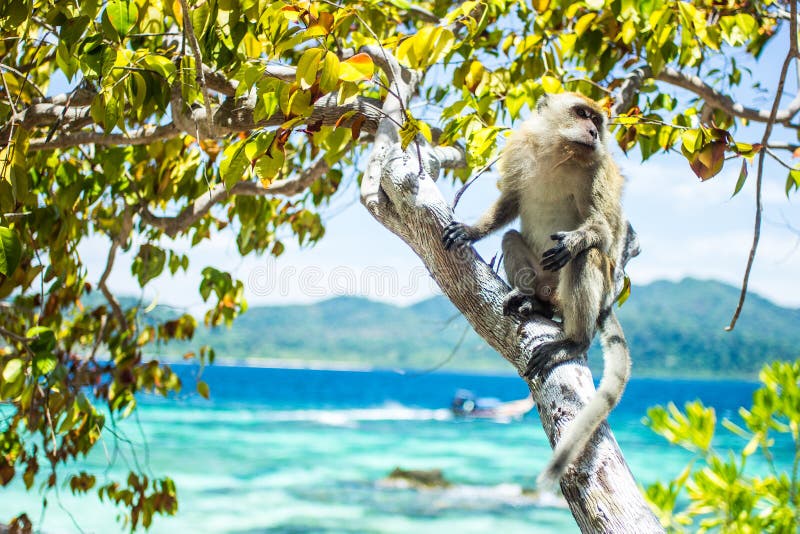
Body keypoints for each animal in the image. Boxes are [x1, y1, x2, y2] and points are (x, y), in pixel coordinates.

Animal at [442, 92, 631, 487]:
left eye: (597, 120)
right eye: (582, 113)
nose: (593, 131)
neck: (560, 151)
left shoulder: (600, 170)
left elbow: (604, 231)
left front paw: (575, 240)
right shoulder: (519, 149)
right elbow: (510, 202)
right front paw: (472, 230)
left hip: (596, 283)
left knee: (587, 258)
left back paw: (574, 340)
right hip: (544, 280)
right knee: (512, 238)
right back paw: (535, 303)